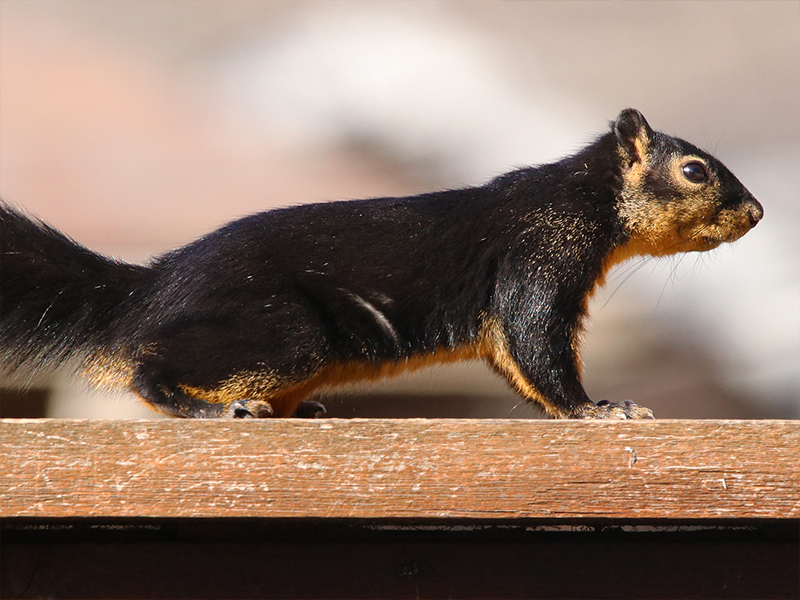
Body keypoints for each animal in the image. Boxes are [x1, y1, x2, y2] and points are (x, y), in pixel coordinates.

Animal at [0, 109, 763, 419]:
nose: (756, 212)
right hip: (281, 330)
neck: (581, 199)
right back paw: (217, 407)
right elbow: (535, 346)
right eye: (694, 170)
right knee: (147, 365)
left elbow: (517, 359)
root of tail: (152, 285)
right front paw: (598, 409)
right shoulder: (537, 257)